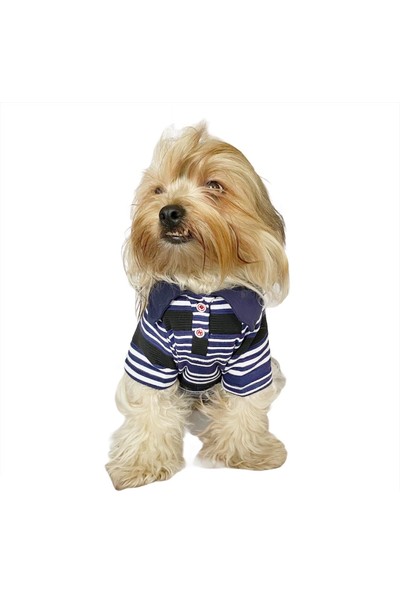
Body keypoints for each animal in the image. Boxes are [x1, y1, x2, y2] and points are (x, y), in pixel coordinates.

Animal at [106, 123, 289, 489]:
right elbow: (149, 411)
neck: (201, 290)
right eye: (158, 190)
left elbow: (244, 405)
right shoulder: (149, 357)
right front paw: (141, 464)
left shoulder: (251, 360)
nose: (169, 211)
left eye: (215, 185)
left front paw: (246, 455)